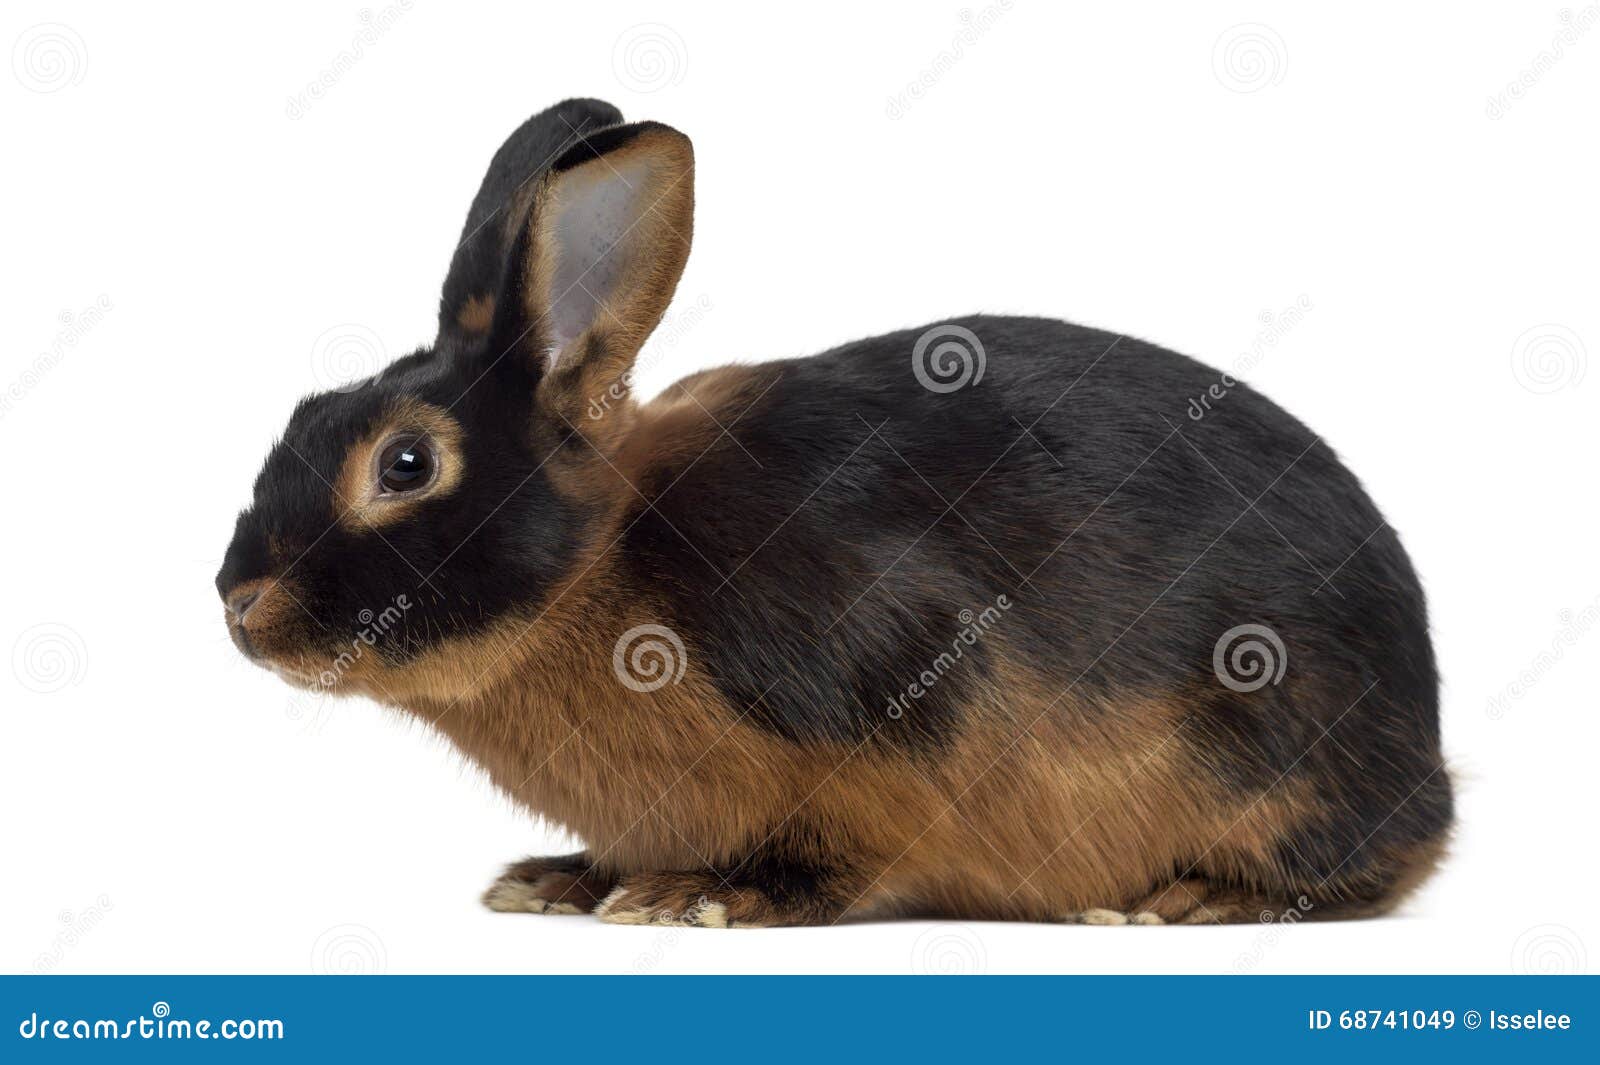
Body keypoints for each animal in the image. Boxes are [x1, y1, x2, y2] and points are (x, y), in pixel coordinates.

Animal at [217, 98, 1451, 927]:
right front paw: (557, 884)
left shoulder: (902, 689)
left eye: (407, 463)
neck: (600, 564)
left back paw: (1195, 899)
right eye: (304, 415)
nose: (240, 604)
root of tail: (1428, 758)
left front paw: (704, 900)